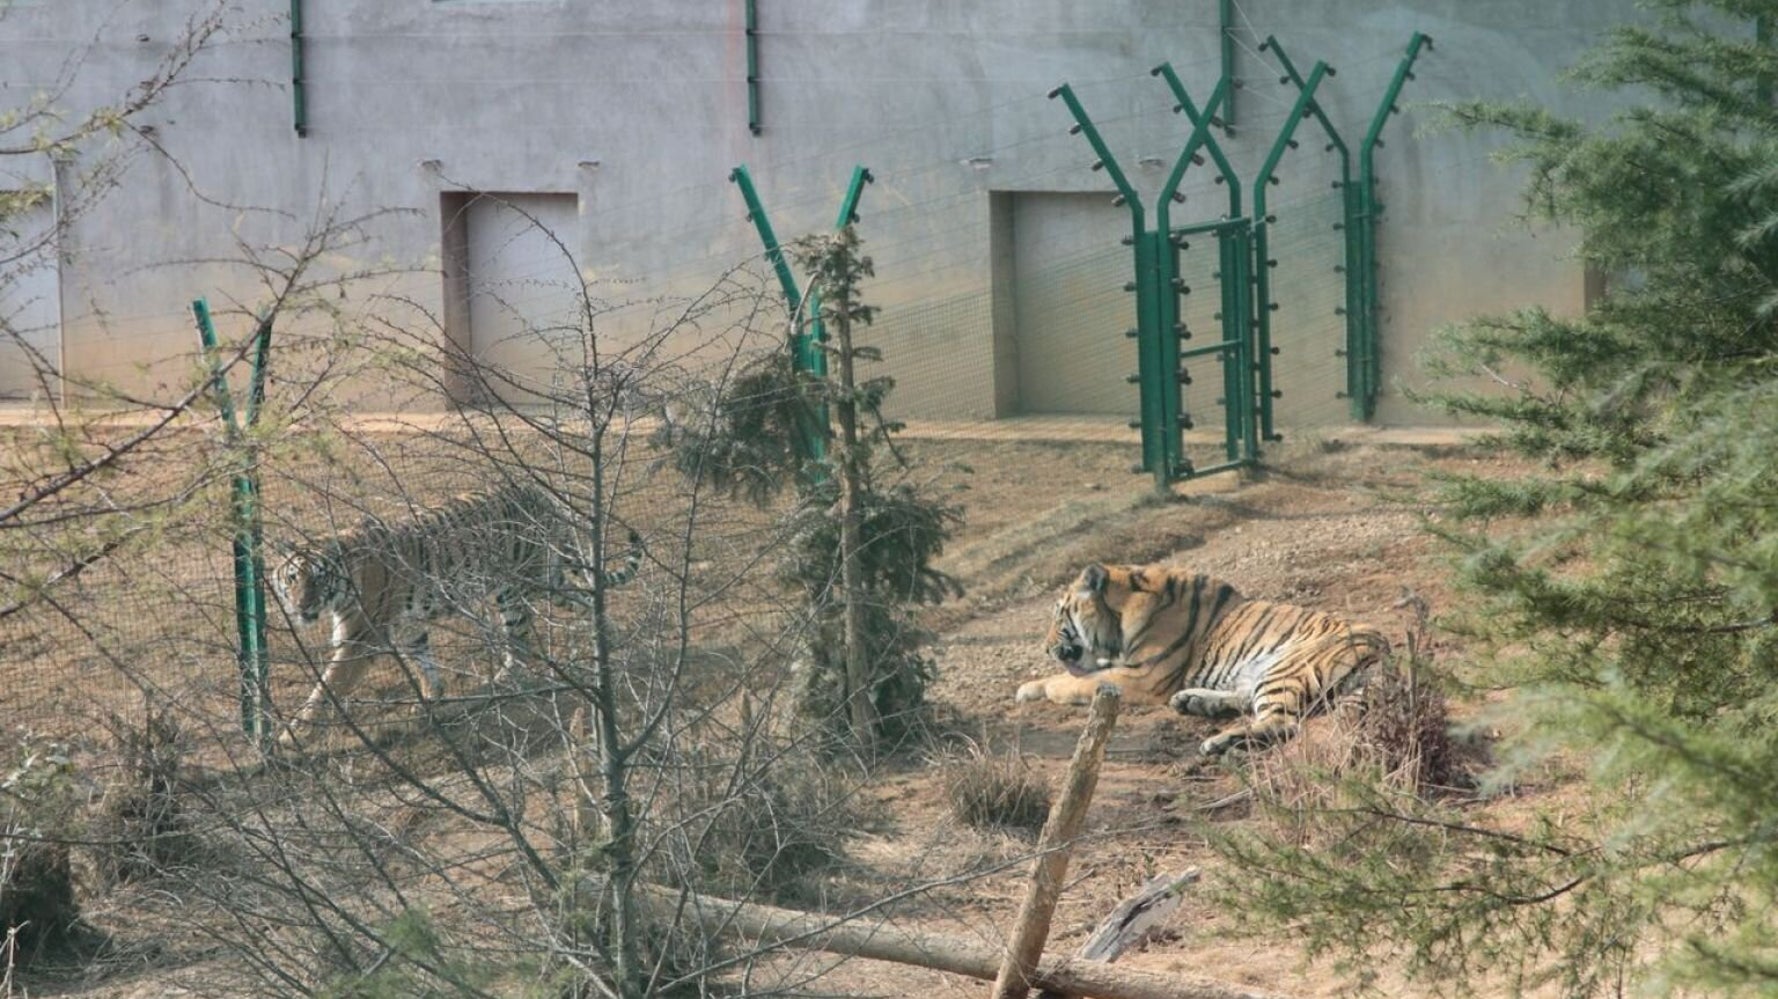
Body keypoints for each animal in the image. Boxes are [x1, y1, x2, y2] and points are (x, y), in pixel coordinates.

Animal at [269, 482, 642, 746]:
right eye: (294, 577)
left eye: (318, 579)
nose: (302, 606)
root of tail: (543, 494)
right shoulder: (409, 625)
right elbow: (423, 661)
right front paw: (430, 699)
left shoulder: (361, 638)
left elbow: (327, 686)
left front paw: (293, 736)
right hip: (547, 581)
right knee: (584, 600)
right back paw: (608, 635)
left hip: (522, 584)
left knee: (521, 640)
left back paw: (502, 683)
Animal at [1015, 562, 1390, 756]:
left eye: (1059, 615)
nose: (1045, 648)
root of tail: (1383, 647)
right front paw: (1029, 686)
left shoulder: (1145, 677)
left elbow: (1077, 681)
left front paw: (1040, 689)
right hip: (1263, 669)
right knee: (1246, 699)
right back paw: (1193, 701)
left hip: (1286, 666)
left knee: (1282, 723)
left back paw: (1217, 741)